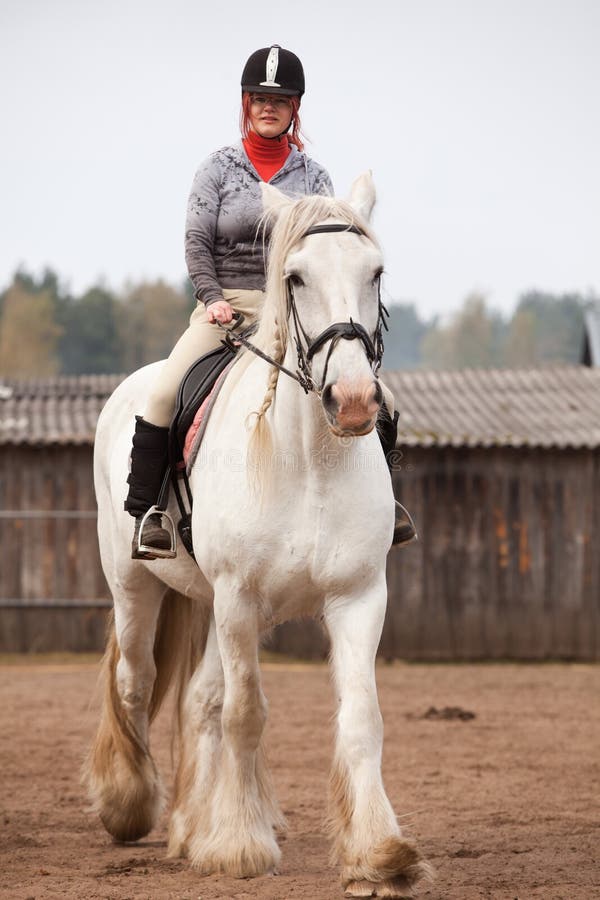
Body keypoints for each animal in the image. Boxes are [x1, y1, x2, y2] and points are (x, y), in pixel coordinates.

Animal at [84, 173, 432, 898]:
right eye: (295, 277)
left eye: (376, 272)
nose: (352, 402)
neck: (309, 461)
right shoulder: (239, 599)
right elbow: (246, 714)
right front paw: (240, 848)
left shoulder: (358, 598)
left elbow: (361, 718)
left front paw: (380, 852)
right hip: (138, 587)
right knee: (137, 680)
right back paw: (130, 806)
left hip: (216, 609)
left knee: (197, 700)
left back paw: (191, 829)